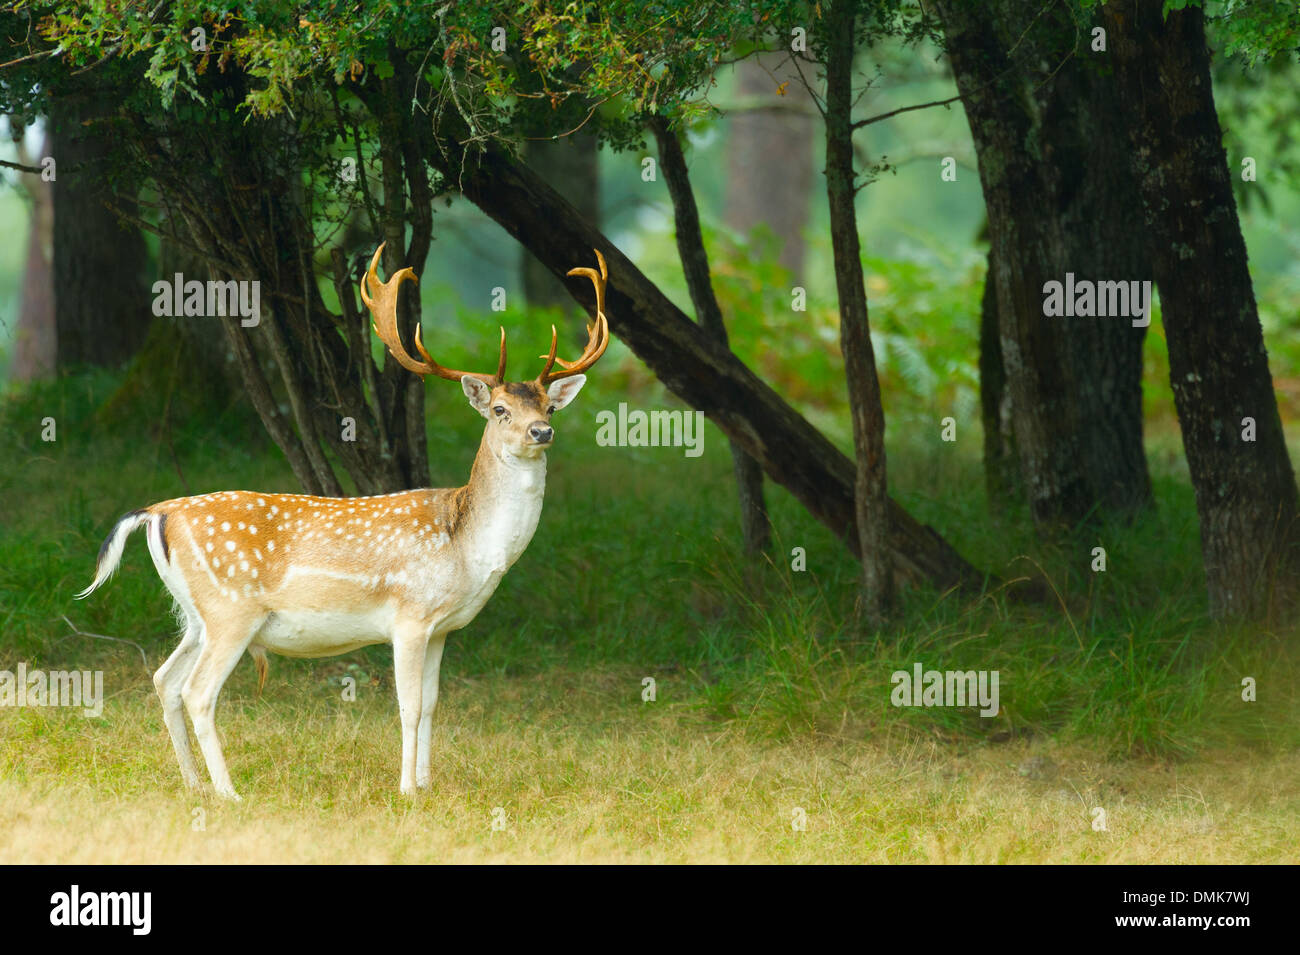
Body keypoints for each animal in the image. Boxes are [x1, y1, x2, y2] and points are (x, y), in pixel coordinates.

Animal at [75, 244, 610, 799]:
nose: (542, 431)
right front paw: (406, 791)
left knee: (165, 679)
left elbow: (433, 705)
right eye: (501, 409)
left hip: (196, 613)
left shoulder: (442, 628)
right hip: (230, 609)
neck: (466, 548)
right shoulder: (410, 616)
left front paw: (427, 785)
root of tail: (158, 511)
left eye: (550, 406)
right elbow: (409, 706)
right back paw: (228, 792)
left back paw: (195, 786)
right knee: (198, 691)